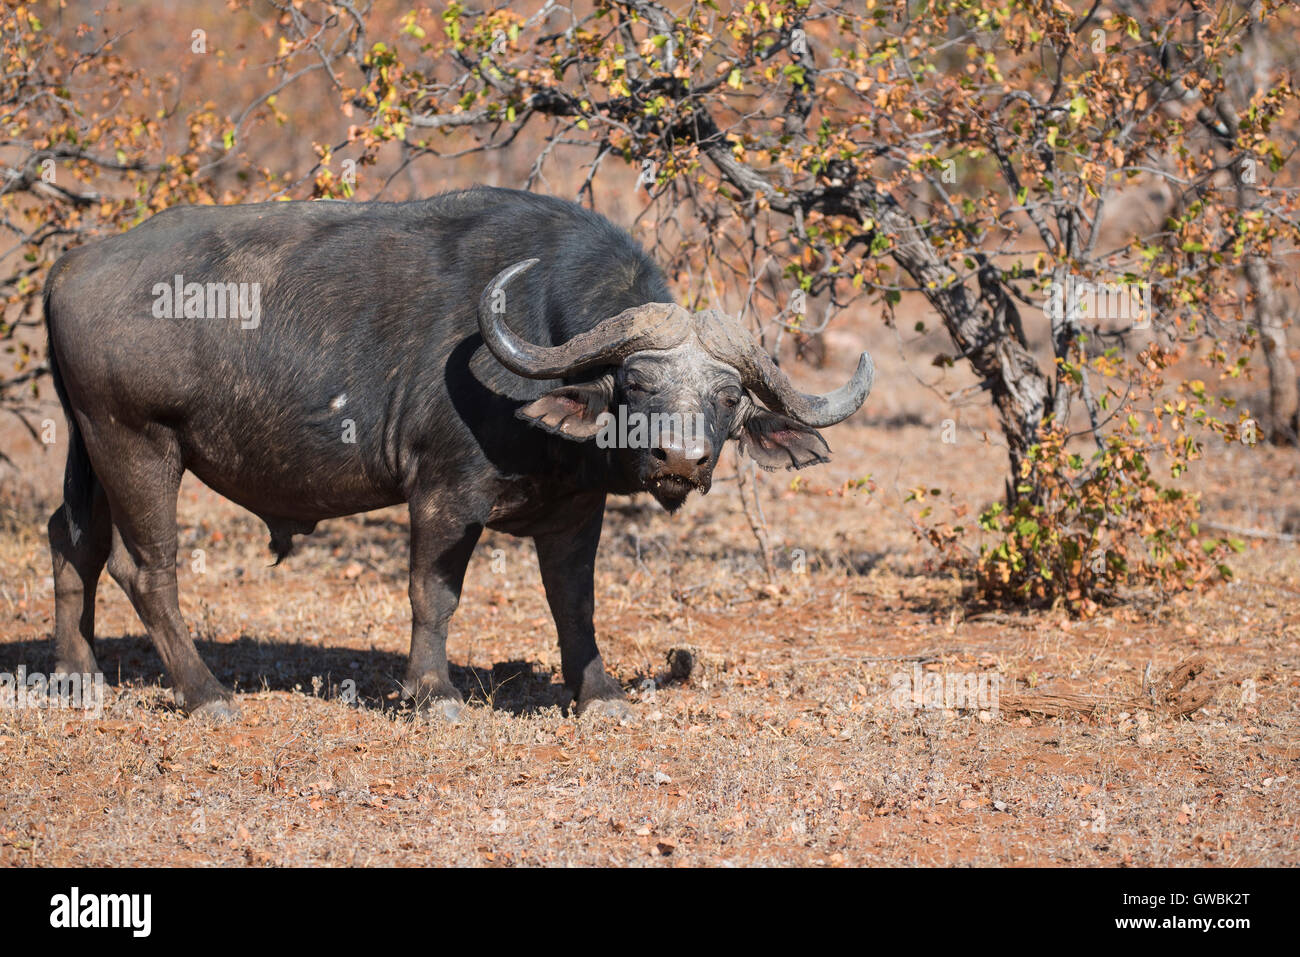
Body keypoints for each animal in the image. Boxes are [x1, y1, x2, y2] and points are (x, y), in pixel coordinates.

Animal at [43, 187, 874, 721]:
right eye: (637, 380)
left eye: (729, 397)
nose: (680, 460)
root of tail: (71, 267)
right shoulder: (444, 497)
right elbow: (432, 594)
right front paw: (433, 693)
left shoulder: (575, 512)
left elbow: (575, 602)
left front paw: (598, 694)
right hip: (139, 444)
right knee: (145, 570)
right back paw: (208, 694)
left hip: (88, 446)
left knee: (72, 542)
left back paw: (79, 678)